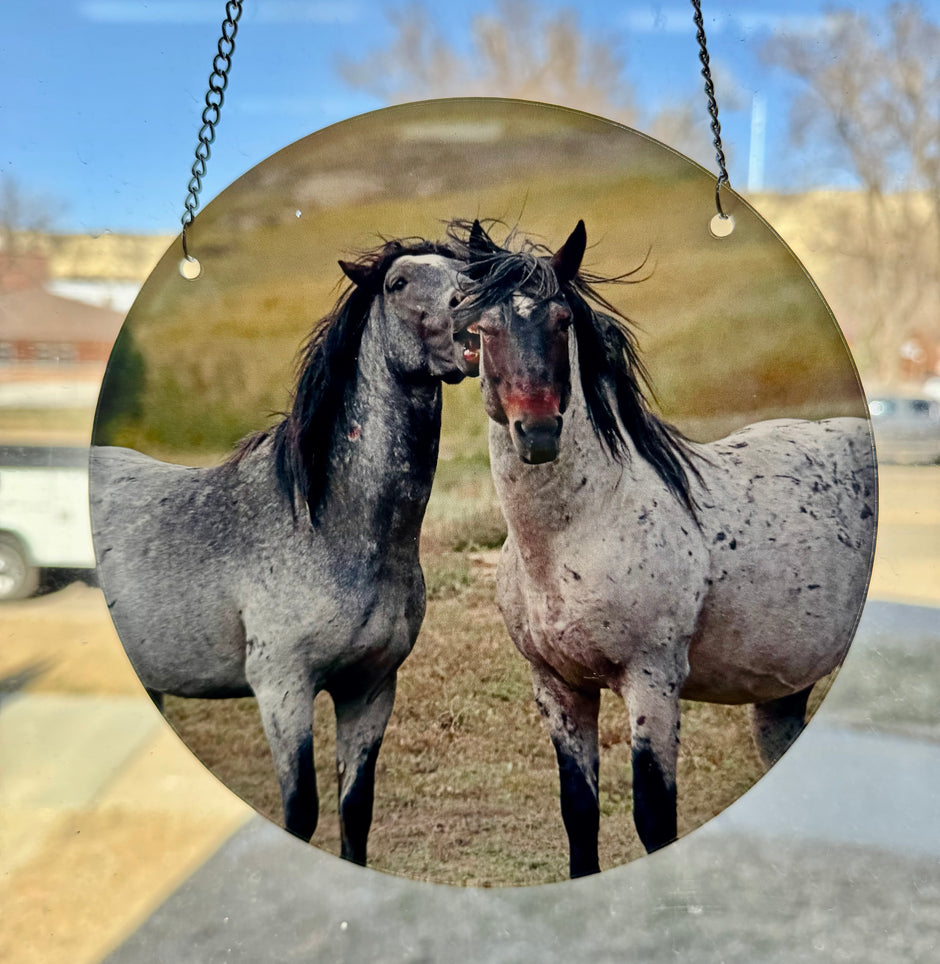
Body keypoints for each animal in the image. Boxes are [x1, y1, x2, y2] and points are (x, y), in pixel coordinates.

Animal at [91, 238, 469, 865]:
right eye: (398, 283)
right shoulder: (283, 690)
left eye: (469, 269)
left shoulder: (370, 691)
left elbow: (354, 813)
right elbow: (302, 813)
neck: (328, 531)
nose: (472, 313)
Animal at [449, 219, 877, 877]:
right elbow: (579, 815)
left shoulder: (651, 682)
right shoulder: (559, 689)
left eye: (561, 321)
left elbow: (654, 819)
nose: (538, 433)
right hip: (784, 692)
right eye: (484, 329)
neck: (579, 533)